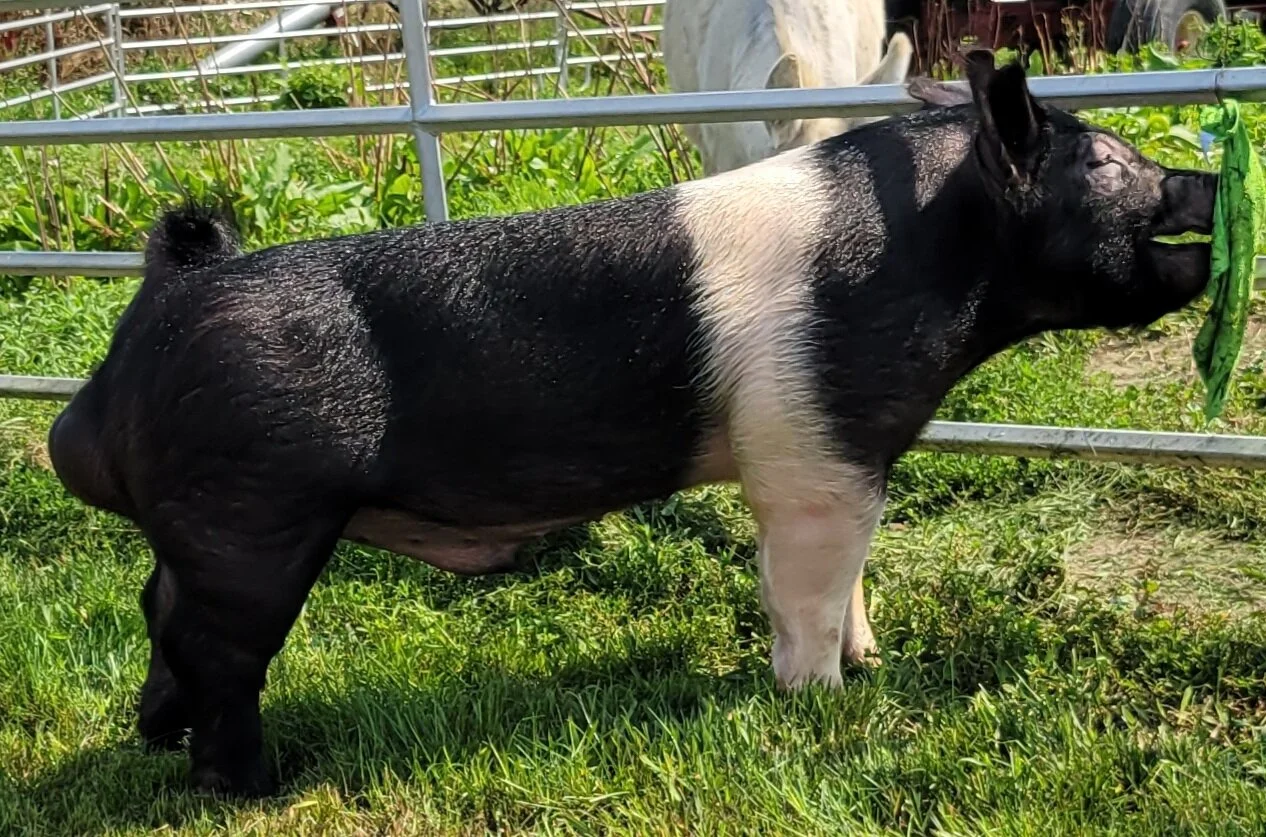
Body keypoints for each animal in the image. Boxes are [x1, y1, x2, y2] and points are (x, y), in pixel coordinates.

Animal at [49, 51, 1216, 797]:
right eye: (1106, 161)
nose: (1205, 178)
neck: (939, 261)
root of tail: (151, 317)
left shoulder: (850, 456)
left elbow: (856, 576)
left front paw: (874, 660)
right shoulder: (805, 459)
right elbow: (803, 593)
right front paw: (823, 704)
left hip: (206, 527)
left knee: (157, 610)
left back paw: (155, 743)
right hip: (251, 516)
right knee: (216, 651)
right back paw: (256, 785)